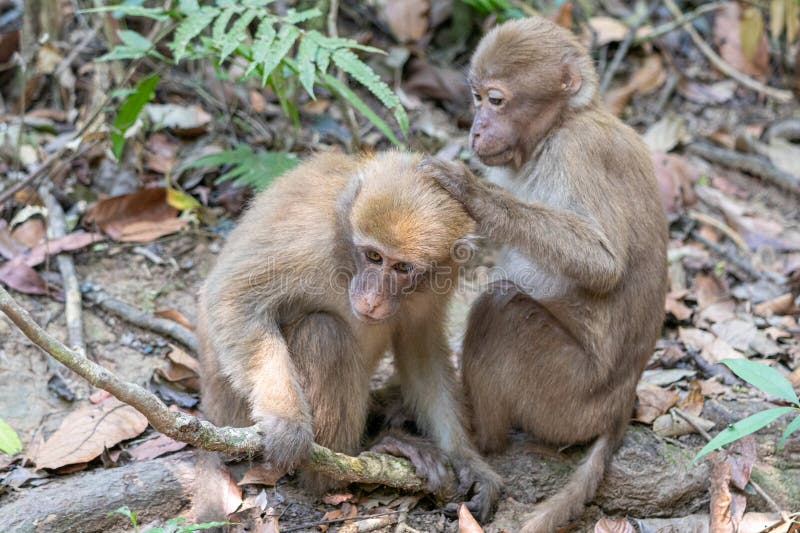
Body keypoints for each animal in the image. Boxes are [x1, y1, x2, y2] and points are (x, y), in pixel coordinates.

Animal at [195, 151, 503, 522]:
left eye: (402, 268)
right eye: (373, 256)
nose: (372, 298)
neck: (345, 248)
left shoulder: (439, 279)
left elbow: (421, 350)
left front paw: (467, 459)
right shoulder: (309, 240)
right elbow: (232, 299)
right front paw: (287, 422)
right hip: (234, 409)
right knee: (324, 332)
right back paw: (357, 460)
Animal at [423, 16, 669, 533]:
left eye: (497, 100)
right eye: (476, 97)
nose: (476, 129)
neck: (560, 125)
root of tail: (620, 406)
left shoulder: (579, 153)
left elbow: (602, 264)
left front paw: (474, 194)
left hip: (567, 399)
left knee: (500, 307)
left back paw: (479, 439)